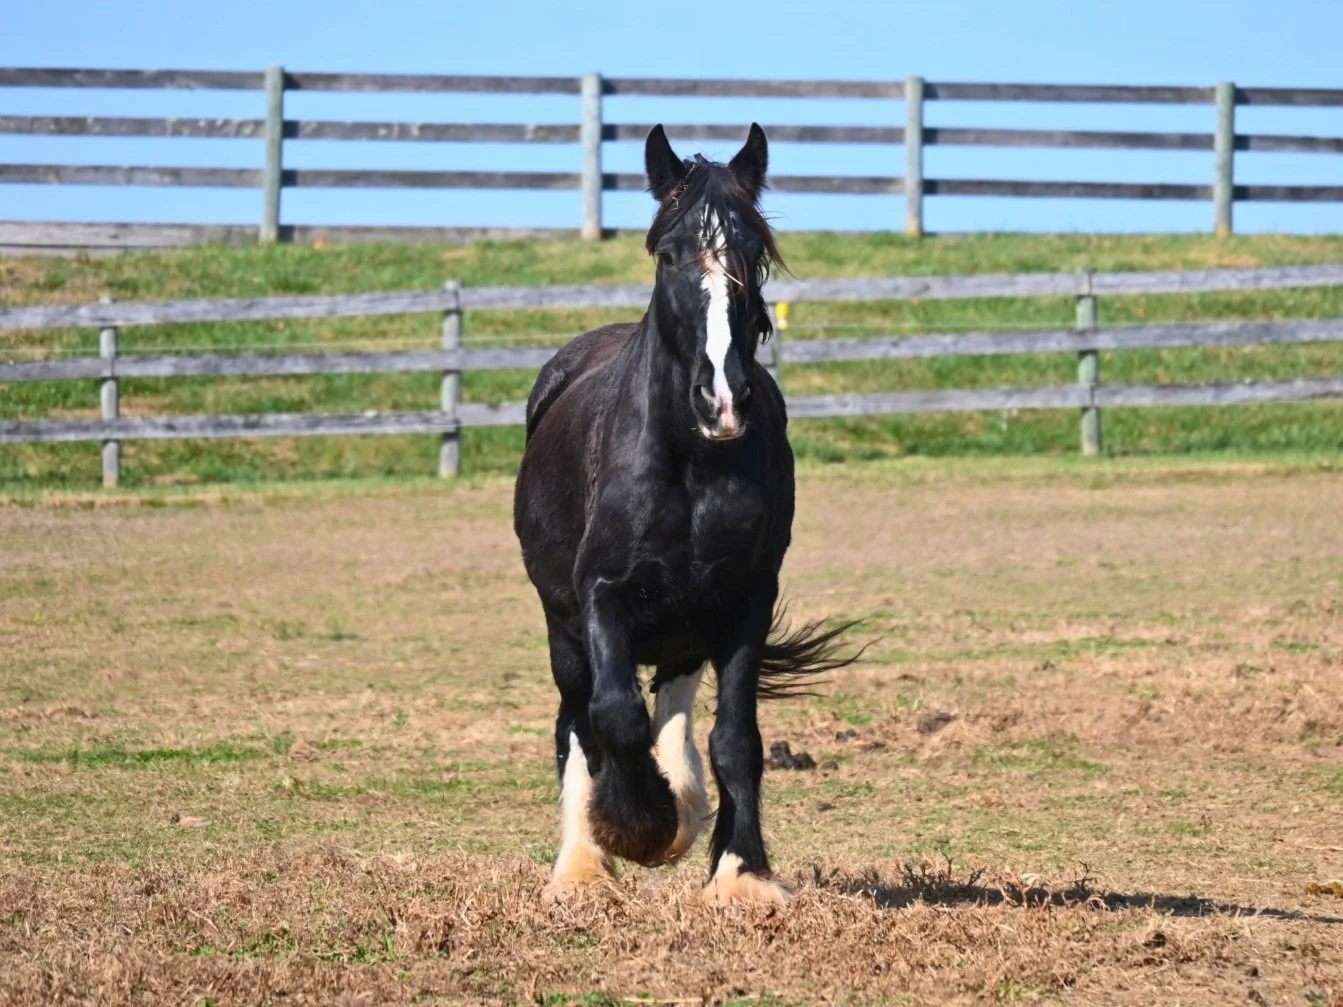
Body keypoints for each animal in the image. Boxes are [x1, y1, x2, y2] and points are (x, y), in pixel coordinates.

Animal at [513, 123, 854, 905]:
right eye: (667, 253)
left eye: (753, 253)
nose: (721, 398)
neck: (690, 462)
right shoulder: (601, 594)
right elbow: (612, 714)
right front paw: (637, 826)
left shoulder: (744, 598)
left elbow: (735, 739)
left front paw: (740, 870)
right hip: (565, 628)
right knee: (577, 719)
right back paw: (582, 862)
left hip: (684, 618)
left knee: (671, 700)